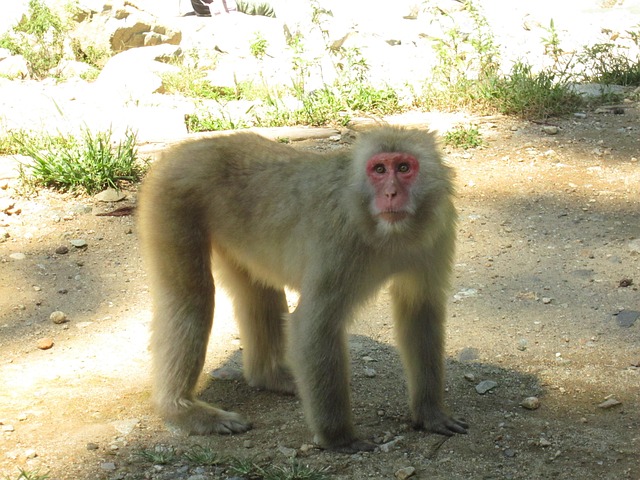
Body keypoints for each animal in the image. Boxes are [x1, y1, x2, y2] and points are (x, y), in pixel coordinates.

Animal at [137, 125, 468, 452]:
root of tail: (186, 148)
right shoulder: (339, 239)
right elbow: (314, 326)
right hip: (171, 202)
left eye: (403, 168)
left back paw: (269, 377)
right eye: (379, 169)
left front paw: (430, 413)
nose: (390, 193)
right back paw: (181, 409)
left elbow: (420, 311)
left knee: (258, 289)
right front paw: (338, 438)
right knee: (192, 301)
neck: (388, 232)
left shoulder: (438, 229)